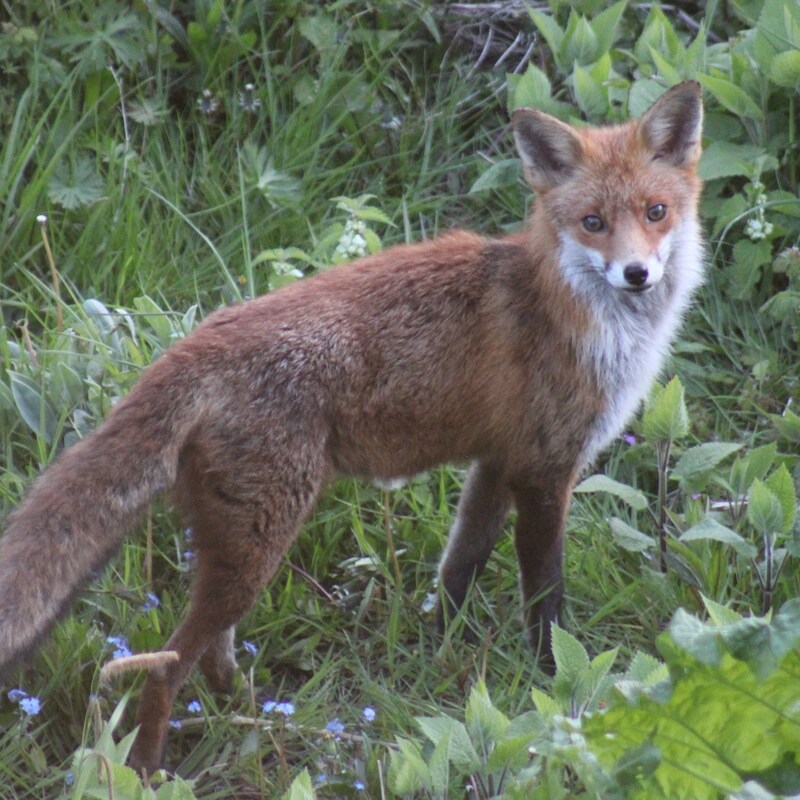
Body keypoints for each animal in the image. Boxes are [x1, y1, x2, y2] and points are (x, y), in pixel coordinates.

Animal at [0, 82, 704, 774]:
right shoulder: (544, 470)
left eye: (656, 212)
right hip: (261, 540)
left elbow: (458, 570)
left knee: (215, 652)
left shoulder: (495, 464)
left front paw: (440, 653)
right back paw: (148, 768)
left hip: (234, 542)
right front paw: (553, 684)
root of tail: (195, 342)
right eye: (593, 223)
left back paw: (256, 713)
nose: (636, 273)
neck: (574, 313)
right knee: (166, 664)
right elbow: (546, 604)